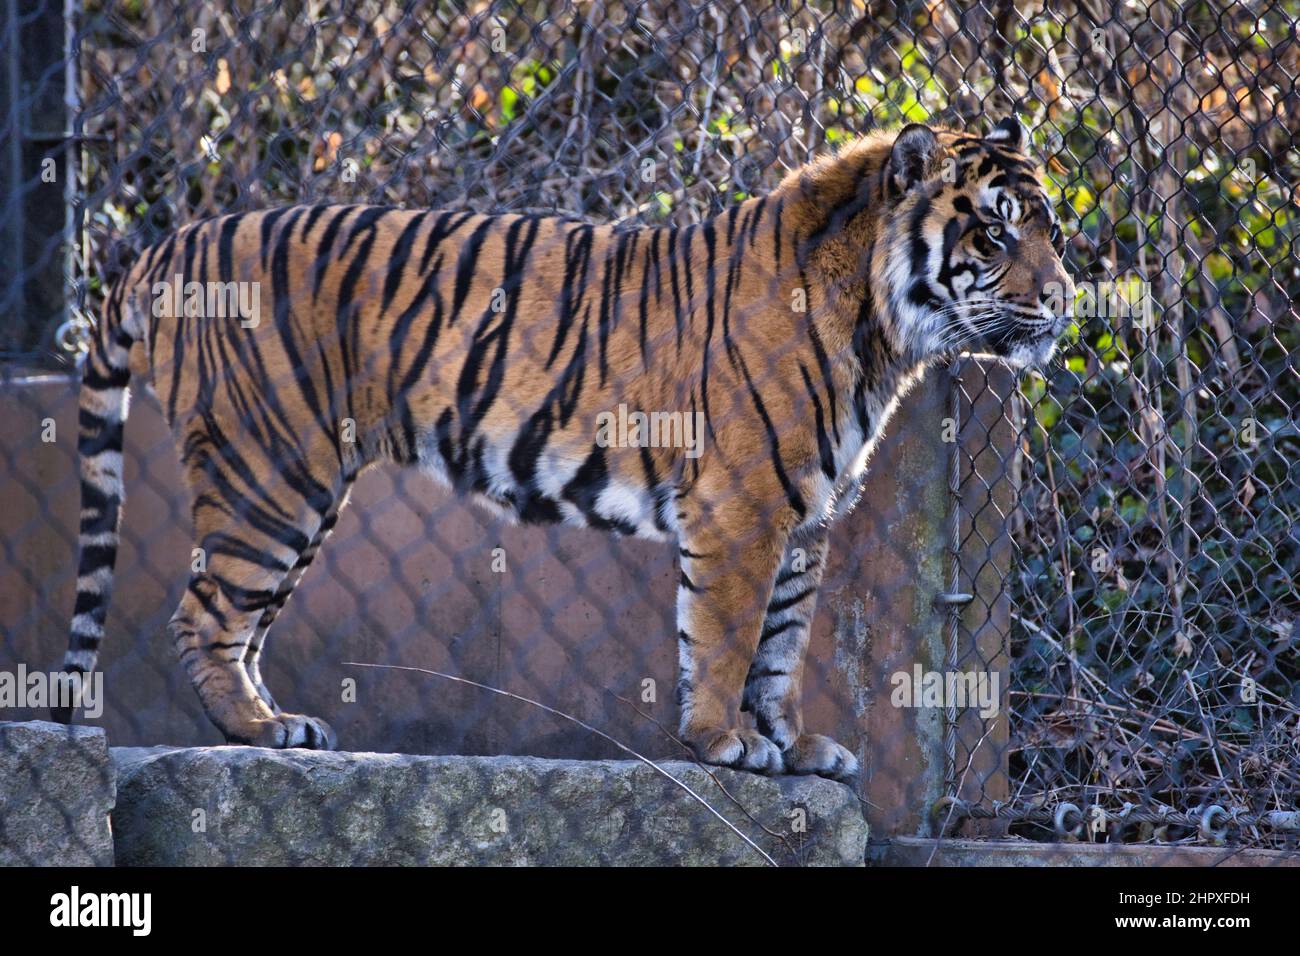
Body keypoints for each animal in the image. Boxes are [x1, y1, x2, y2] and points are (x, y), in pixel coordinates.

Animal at [54, 116, 1072, 782]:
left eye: (1049, 227)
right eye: (993, 232)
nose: (1065, 298)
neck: (882, 333)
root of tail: (166, 246)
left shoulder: (807, 518)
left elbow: (785, 644)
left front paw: (795, 744)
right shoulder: (742, 506)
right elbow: (727, 637)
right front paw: (724, 744)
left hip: (306, 487)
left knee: (243, 618)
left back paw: (277, 723)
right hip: (270, 471)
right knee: (204, 615)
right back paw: (259, 734)